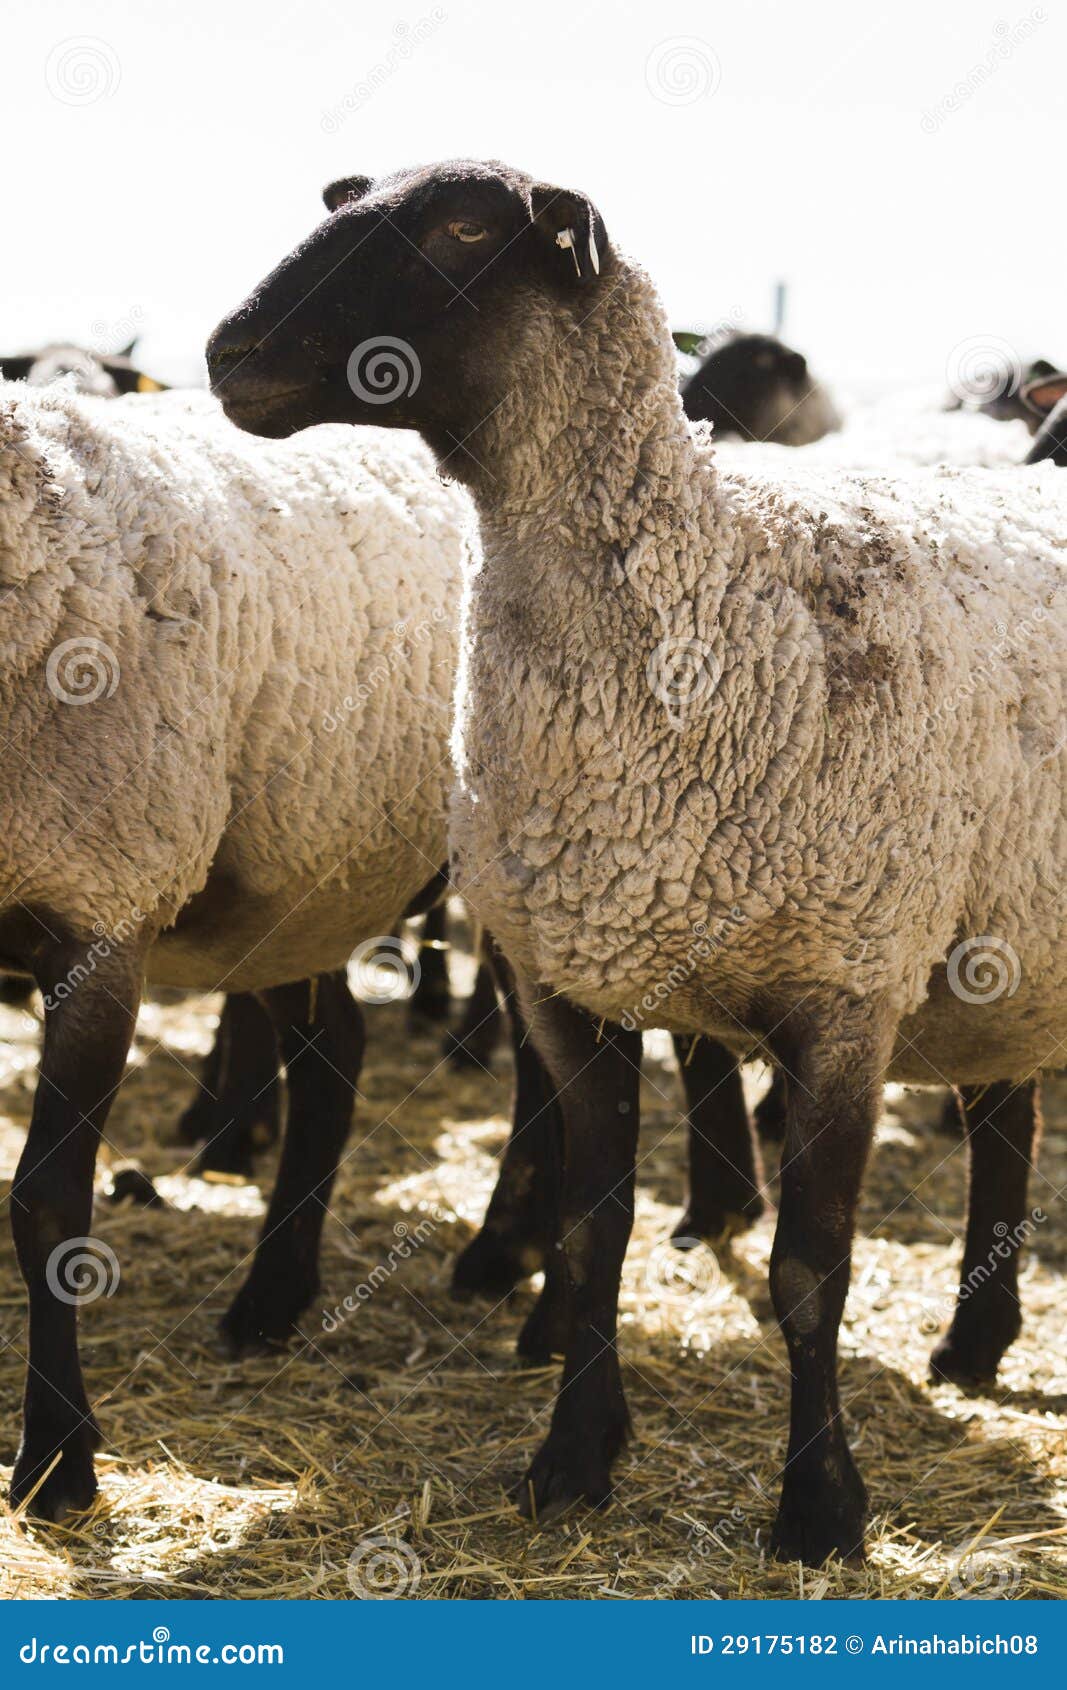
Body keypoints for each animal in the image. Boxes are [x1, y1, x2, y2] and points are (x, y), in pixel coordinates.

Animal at [0, 376, 471, 1520]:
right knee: (335, 1052)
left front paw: (60, 1458)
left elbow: (48, 1204)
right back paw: (273, 1297)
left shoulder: (101, 917)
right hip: (300, 889)